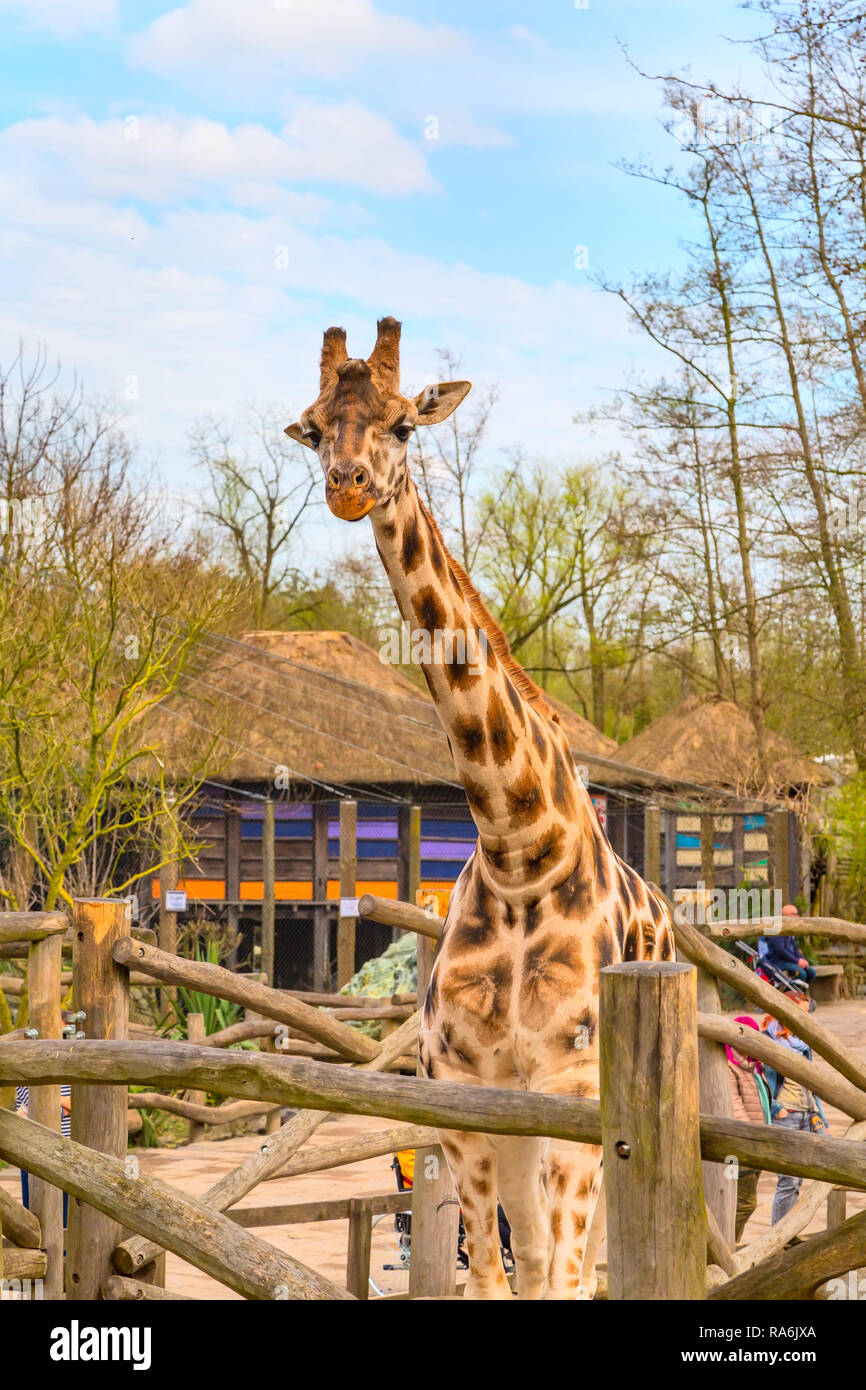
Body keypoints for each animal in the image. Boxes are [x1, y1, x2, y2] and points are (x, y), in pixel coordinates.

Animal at [286, 317, 675, 1299]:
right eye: (315, 428)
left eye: (403, 424)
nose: (349, 486)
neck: (518, 846)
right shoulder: (466, 1100)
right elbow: (498, 1276)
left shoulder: (577, 1095)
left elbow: (566, 1280)